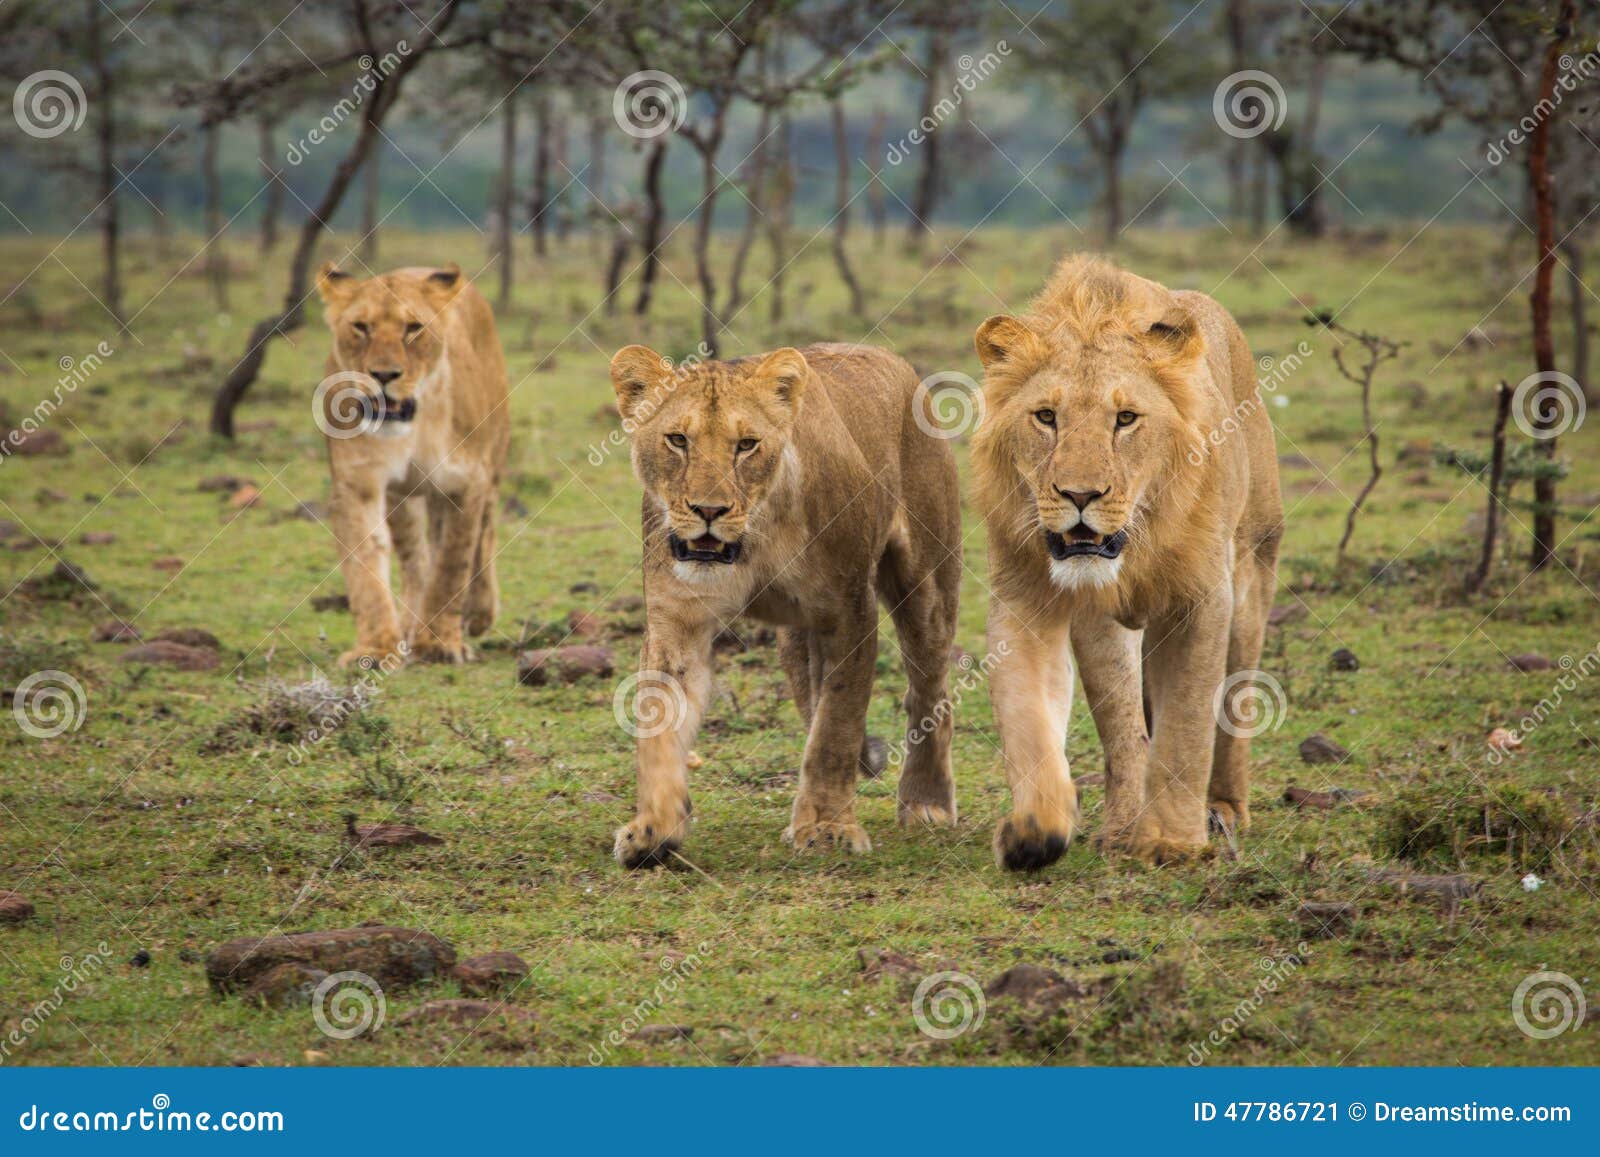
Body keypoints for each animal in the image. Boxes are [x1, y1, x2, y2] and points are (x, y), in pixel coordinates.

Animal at [314, 262, 510, 667]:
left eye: (413, 327)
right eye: (361, 326)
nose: (384, 375)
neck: (413, 424)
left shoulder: (466, 483)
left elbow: (452, 564)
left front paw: (438, 643)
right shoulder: (358, 483)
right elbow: (366, 566)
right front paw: (375, 648)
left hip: (494, 461)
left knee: (484, 534)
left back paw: (478, 614)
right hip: (403, 498)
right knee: (416, 561)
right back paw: (410, 625)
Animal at [606, 342, 963, 868]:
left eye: (746, 445)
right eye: (677, 440)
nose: (708, 511)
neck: (755, 539)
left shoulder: (850, 611)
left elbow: (836, 725)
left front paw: (828, 828)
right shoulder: (676, 621)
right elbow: (660, 724)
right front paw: (653, 830)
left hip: (927, 585)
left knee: (928, 690)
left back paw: (926, 803)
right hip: (795, 638)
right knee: (810, 691)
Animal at [970, 255, 1282, 869]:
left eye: (1126, 419)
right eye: (1046, 416)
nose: (1079, 495)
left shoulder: (1202, 599)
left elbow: (1188, 722)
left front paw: (1170, 841)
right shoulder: (1030, 599)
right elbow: (1035, 718)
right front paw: (1034, 833)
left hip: (1253, 572)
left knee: (1234, 704)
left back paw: (1225, 809)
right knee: (1128, 723)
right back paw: (1121, 825)